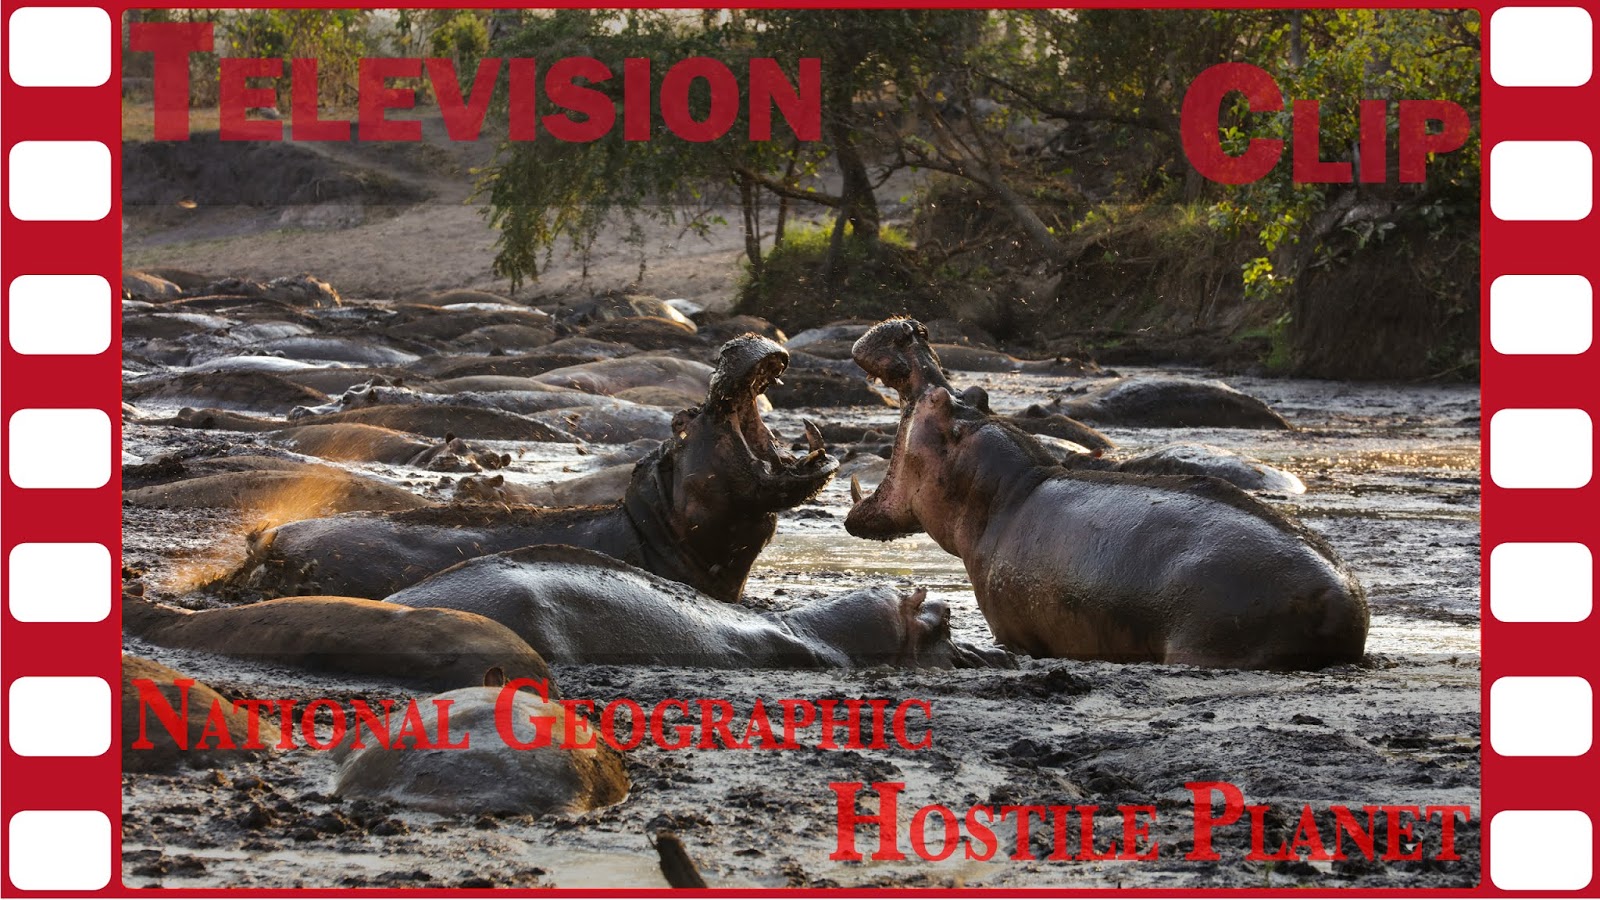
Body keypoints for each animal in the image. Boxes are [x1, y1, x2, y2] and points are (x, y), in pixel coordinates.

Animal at [843, 318, 1367, 670]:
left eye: (938, 400)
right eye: (972, 395)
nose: (911, 330)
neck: (1009, 491)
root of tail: (1340, 601)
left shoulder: (1013, 631)